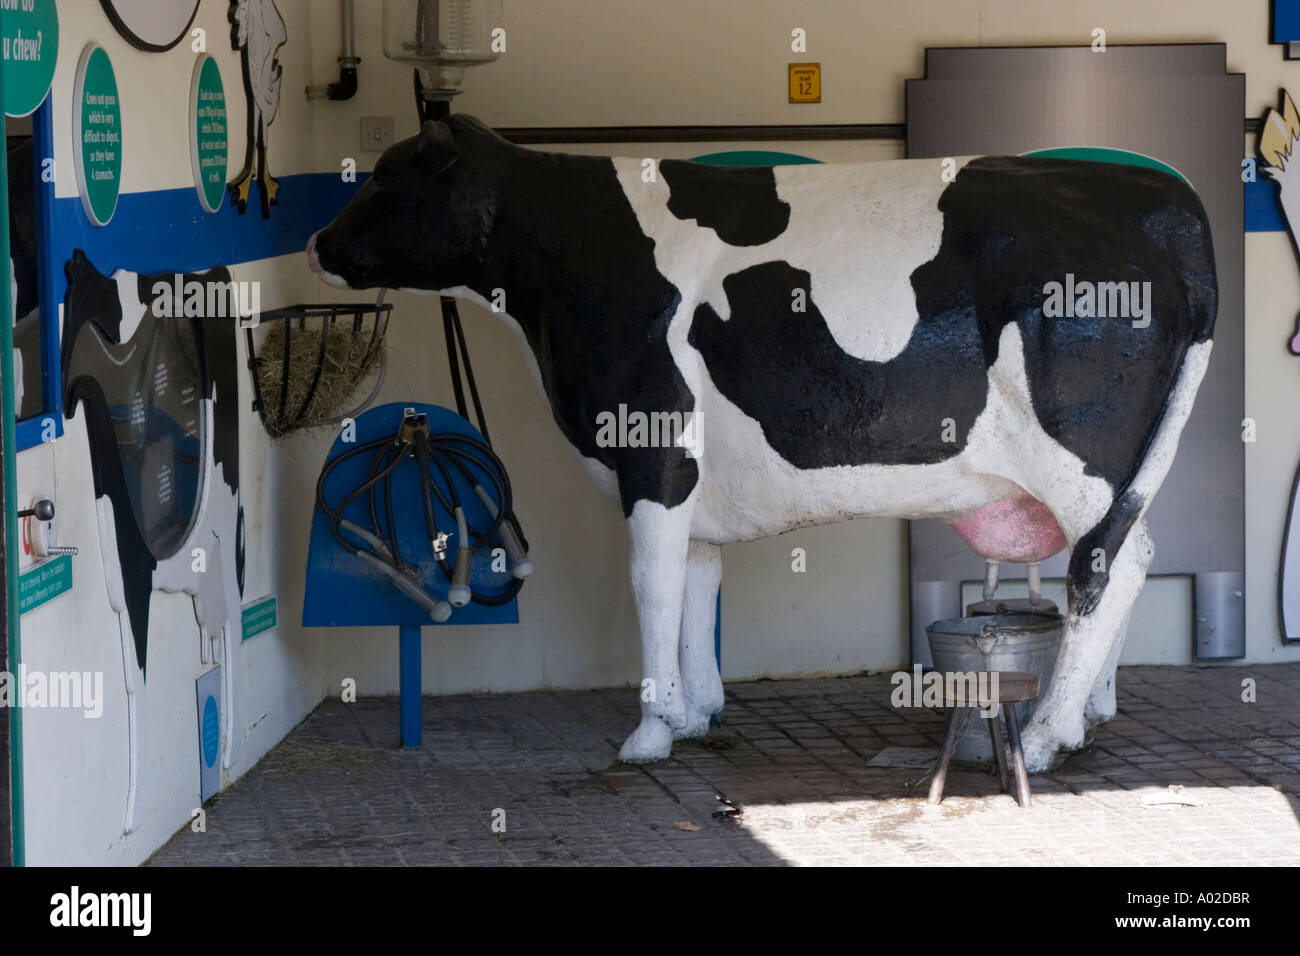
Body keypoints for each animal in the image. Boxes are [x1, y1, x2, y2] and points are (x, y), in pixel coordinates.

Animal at [307, 116, 1217, 772]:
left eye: (385, 177)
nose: (314, 243)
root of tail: (1153, 195)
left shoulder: (652, 451)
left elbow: (652, 585)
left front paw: (649, 730)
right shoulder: (693, 480)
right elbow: (696, 582)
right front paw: (696, 712)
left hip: (1082, 458)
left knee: (1106, 568)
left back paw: (1045, 734)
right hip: (1128, 465)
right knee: (1130, 556)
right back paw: (1088, 714)